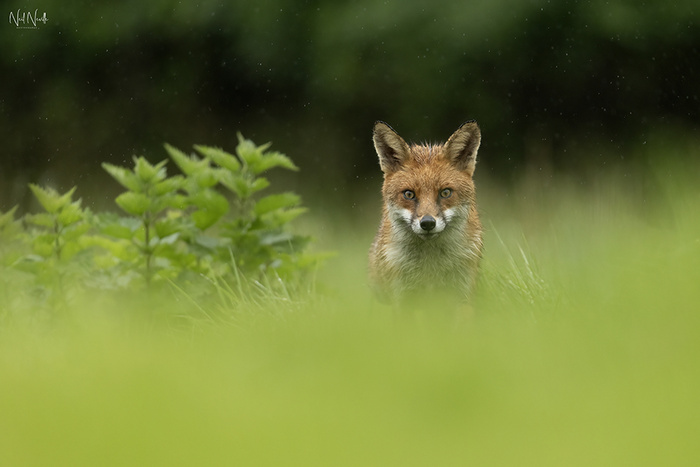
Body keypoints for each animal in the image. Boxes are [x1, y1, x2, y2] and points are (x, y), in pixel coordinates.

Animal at [368, 121, 483, 306]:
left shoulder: (462, 295)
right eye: (409, 194)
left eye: (445, 193)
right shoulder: (401, 297)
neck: (430, 266)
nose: (428, 223)